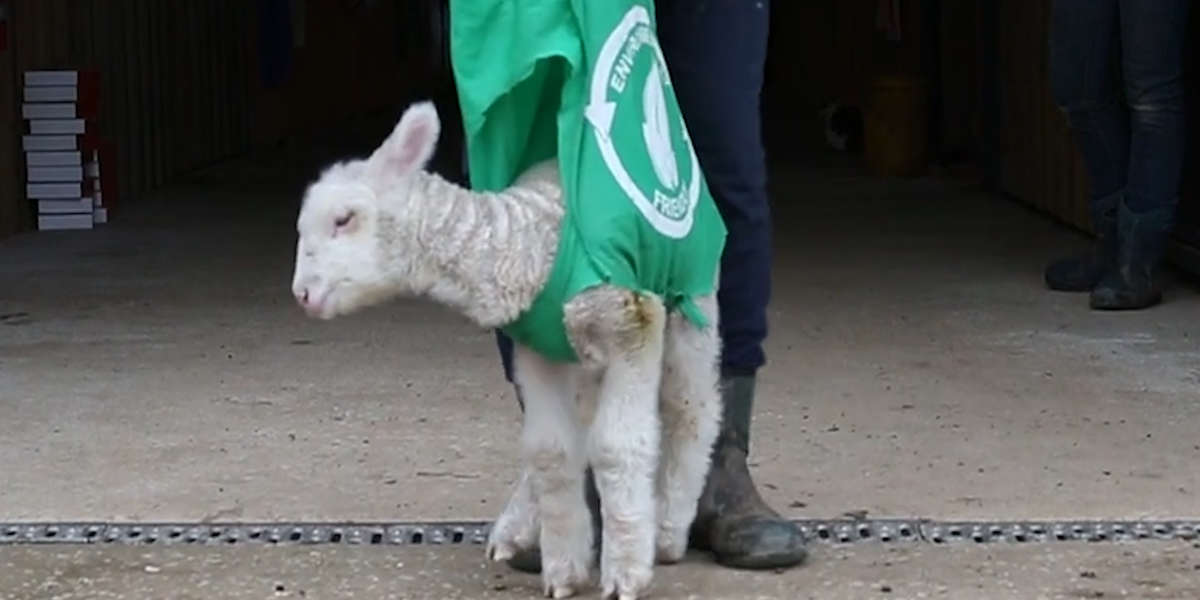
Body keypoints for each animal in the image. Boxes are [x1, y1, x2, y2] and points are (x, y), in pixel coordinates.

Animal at [290, 103, 720, 600]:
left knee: (693, 409)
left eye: (343, 219)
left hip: (693, 291)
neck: (526, 243)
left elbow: (618, 446)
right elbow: (550, 450)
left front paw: (626, 572)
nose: (301, 294)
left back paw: (668, 530)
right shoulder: (538, 348)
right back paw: (516, 528)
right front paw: (564, 570)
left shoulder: (630, 322)